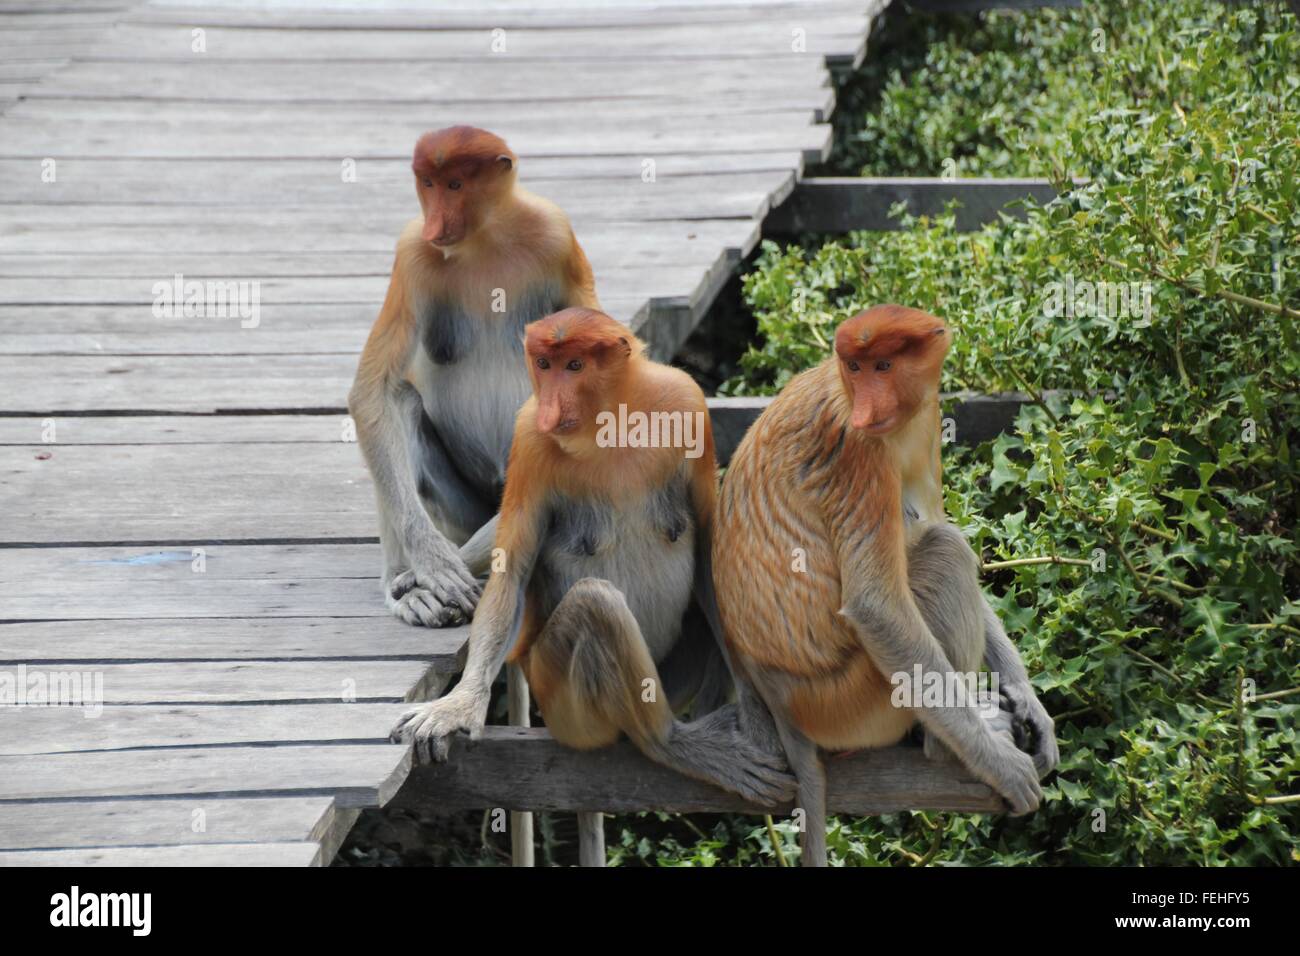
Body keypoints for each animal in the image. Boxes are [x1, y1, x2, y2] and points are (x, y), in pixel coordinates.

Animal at [349, 126, 599, 628]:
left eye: (455, 185)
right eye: (427, 183)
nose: (435, 223)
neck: (486, 238)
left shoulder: (558, 234)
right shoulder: (412, 251)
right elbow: (373, 392)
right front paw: (430, 569)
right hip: (459, 512)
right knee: (400, 401)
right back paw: (406, 587)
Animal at [390, 308, 795, 806]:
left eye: (575, 366)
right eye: (543, 365)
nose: (551, 405)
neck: (613, 421)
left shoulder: (688, 403)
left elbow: (707, 553)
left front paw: (760, 717)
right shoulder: (529, 438)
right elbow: (513, 573)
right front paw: (459, 705)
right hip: (563, 703)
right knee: (595, 603)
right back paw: (670, 742)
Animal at [712, 305, 1059, 866]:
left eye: (884, 366)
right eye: (854, 367)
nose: (867, 407)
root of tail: (779, 698)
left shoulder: (922, 422)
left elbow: (932, 519)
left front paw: (1027, 698)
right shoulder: (858, 449)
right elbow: (878, 607)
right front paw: (1001, 765)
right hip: (856, 703)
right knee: (944, 553)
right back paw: (945, 746)